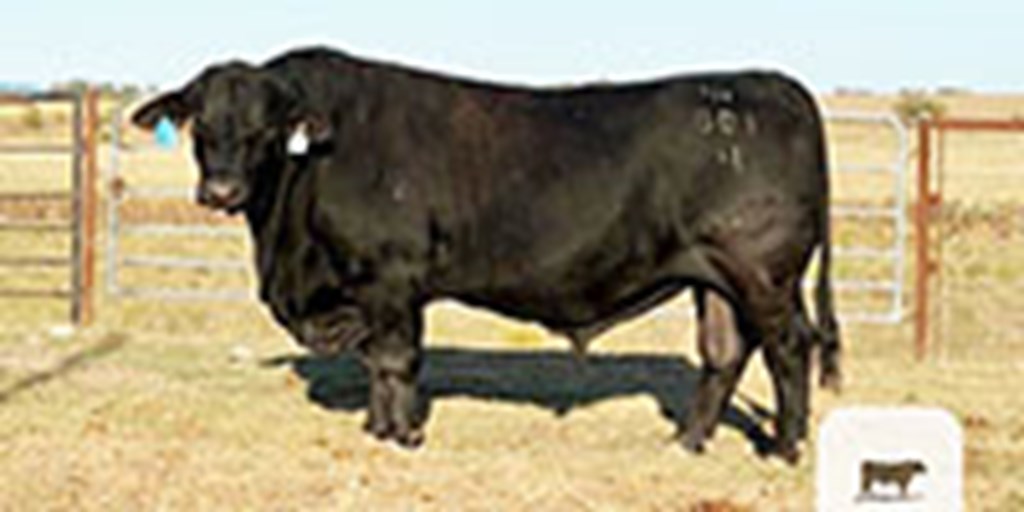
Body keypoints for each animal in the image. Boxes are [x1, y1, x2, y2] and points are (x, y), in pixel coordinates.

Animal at [131, 46, 841, 462]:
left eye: (265, 128)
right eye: (201, 124)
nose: (221, 189)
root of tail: (769, 82)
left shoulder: (392, 280)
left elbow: (396, 361)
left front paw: (402, 437)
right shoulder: (368, 290)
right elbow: (378, 364)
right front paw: (379, 430)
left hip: (764, 274)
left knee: (788, 347)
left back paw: (785, 447)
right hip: (714, 276)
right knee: (725, 352)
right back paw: (688, 441)